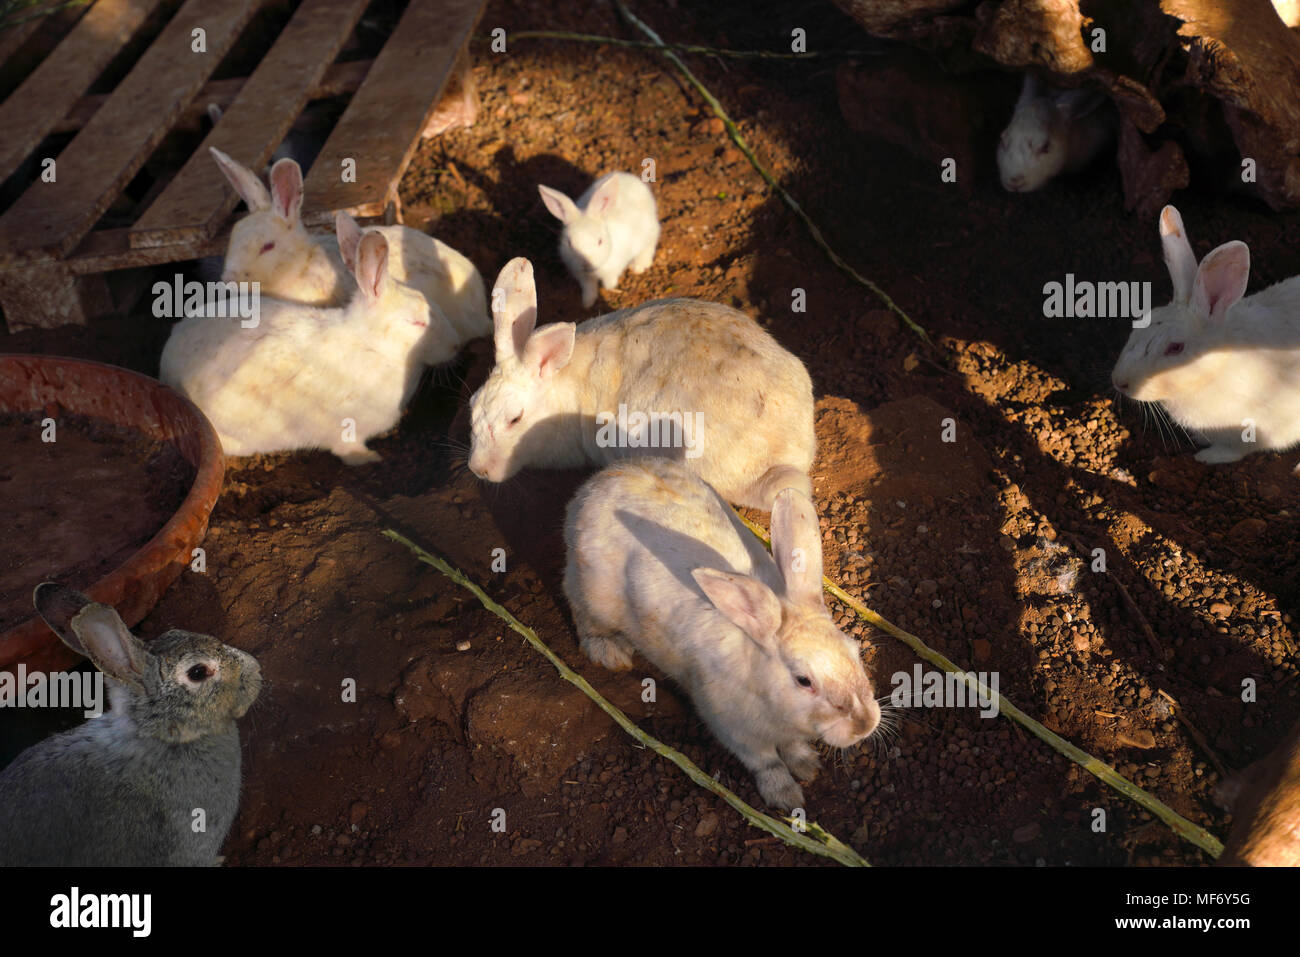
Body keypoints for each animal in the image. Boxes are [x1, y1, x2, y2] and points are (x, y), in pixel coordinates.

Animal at [160, 223, 436, 464]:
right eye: (416, 323)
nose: (445, 343)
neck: (373, 346)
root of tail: (166, 366)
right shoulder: (347, 429)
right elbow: (347, 448)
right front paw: (371, 459)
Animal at [537, 171, 660, 308]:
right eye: (569, 243)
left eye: (600, 241)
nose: (585, 265)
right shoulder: (583, 276)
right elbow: (589, 288)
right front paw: (587, 303)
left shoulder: (613, 270)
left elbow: (610, 281)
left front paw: (609, 288)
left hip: (649, 232)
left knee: (649, 246)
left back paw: (638, 267)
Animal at [563, 457, 880, 810]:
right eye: (804, 681)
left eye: (855, 650)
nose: (865, 725)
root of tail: (599, 482)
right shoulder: (735, 730)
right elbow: (766, 763)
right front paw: (785, 797)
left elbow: (793, 748)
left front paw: (807, 766)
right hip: (593, 591)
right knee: (578, 604)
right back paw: (609, 652)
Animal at [1111, 205, 1300, 468]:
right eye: (1138, 324)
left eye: (1175, 347)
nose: (1119, 382)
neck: (1215, 370)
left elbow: (1232, 451)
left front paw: (1206, 456)